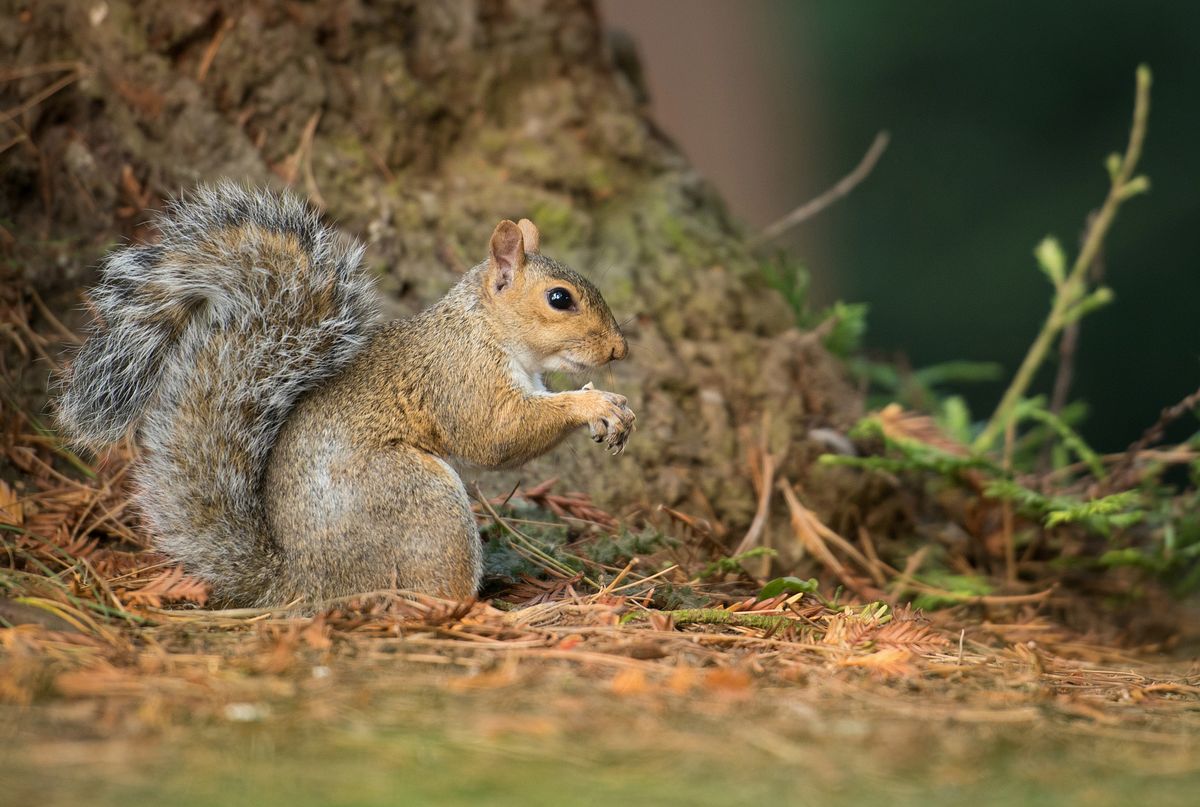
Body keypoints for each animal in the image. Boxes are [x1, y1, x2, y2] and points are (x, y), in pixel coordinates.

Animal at [56, 183, 634, 608]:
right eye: (559, 299)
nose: (619, 349)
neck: (486, 329)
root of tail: (303, 587)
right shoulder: (460, 376)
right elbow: (497, 437)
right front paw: (594, 403)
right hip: (418, 499)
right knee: (432, 590)